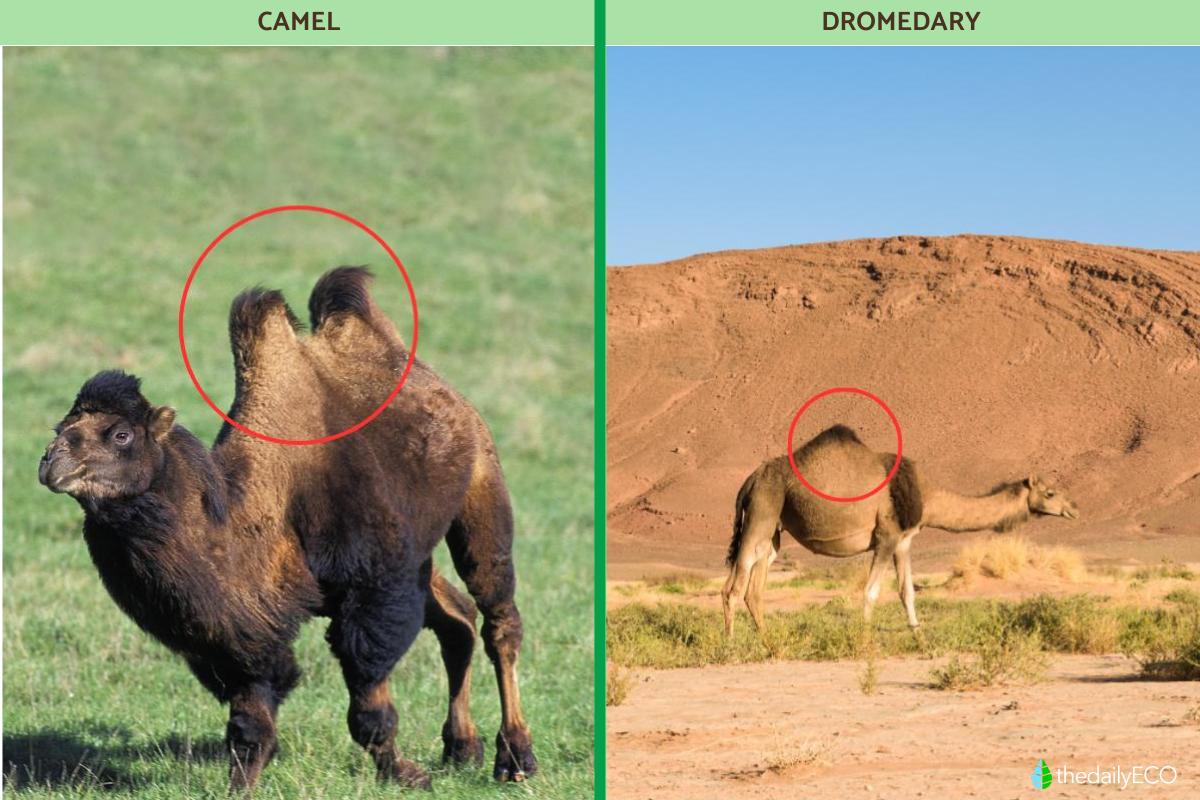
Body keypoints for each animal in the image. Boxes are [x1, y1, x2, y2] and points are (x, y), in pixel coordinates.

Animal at [38, 267, 536, 791]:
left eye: (120, 434)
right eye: (60, 428)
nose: (51, 463)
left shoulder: (372, 587)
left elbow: (369, 706)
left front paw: (406, 774)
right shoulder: (241, 634)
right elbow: (249, 723)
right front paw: (241, 787)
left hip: (481, 490)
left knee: (498, 619)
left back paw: (516, 758)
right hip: (418, 553)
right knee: (457, 619)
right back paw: (461, 748)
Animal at [721, 425, 1079, 634]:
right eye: (1050, 493)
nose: (1073, 508)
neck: (926, 494)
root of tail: (749, 481)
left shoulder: (905, 541)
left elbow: (907, 591)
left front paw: (918, 636)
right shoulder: (886, 537)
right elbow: (871, 592)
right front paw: (864, 640)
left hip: (773, 530)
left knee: (755, 585)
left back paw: (767, 640)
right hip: (761, 513)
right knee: (734, 588)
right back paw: (731, 645)